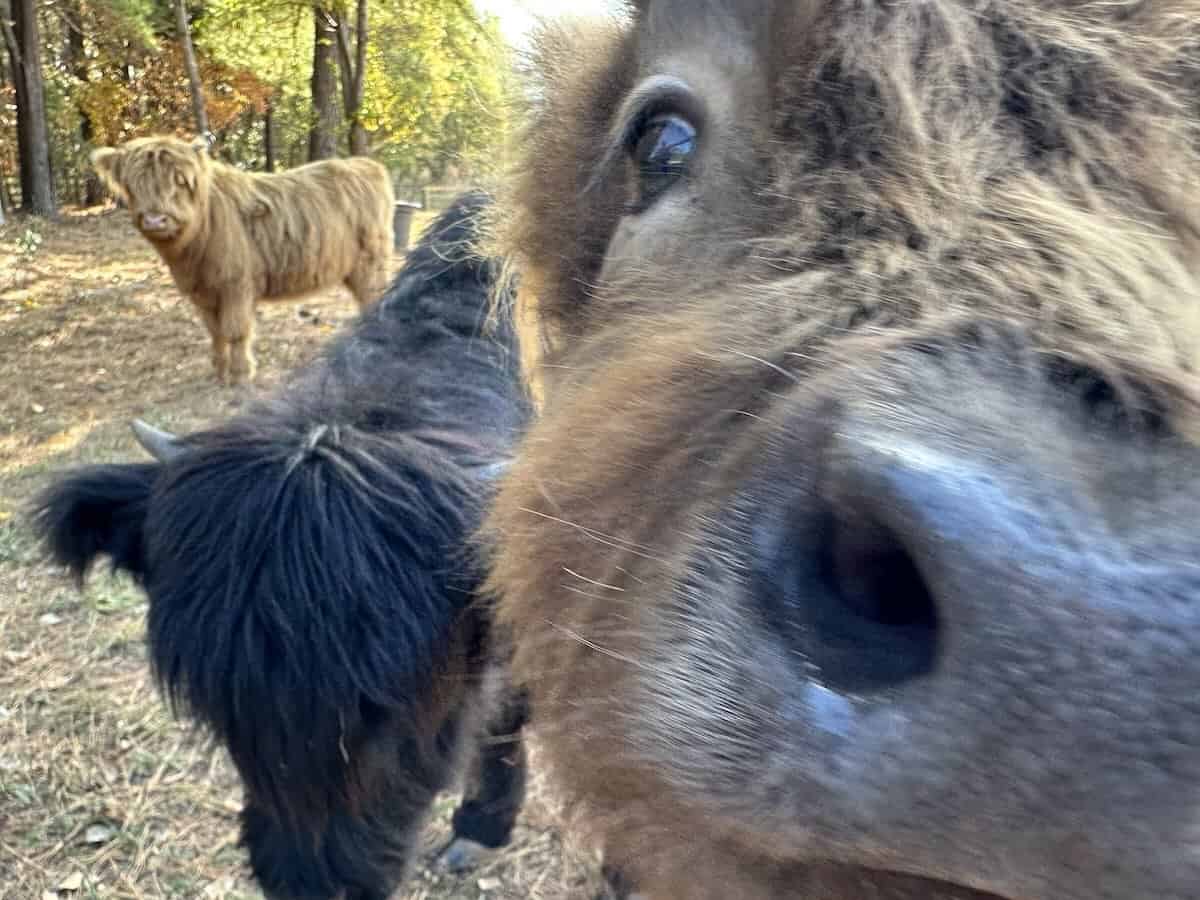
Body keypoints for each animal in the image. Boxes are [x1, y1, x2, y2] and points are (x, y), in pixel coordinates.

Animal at [91, 135, 394, 384]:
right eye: (133, 185)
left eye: (180, 180)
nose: (155, 219)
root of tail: (367, 166)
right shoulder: (201, 291)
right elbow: (216, 332)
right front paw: (219, 371)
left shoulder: (235, 284)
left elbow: (235, 330)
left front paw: (240, 375)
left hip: (370, 263)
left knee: (375, 299)